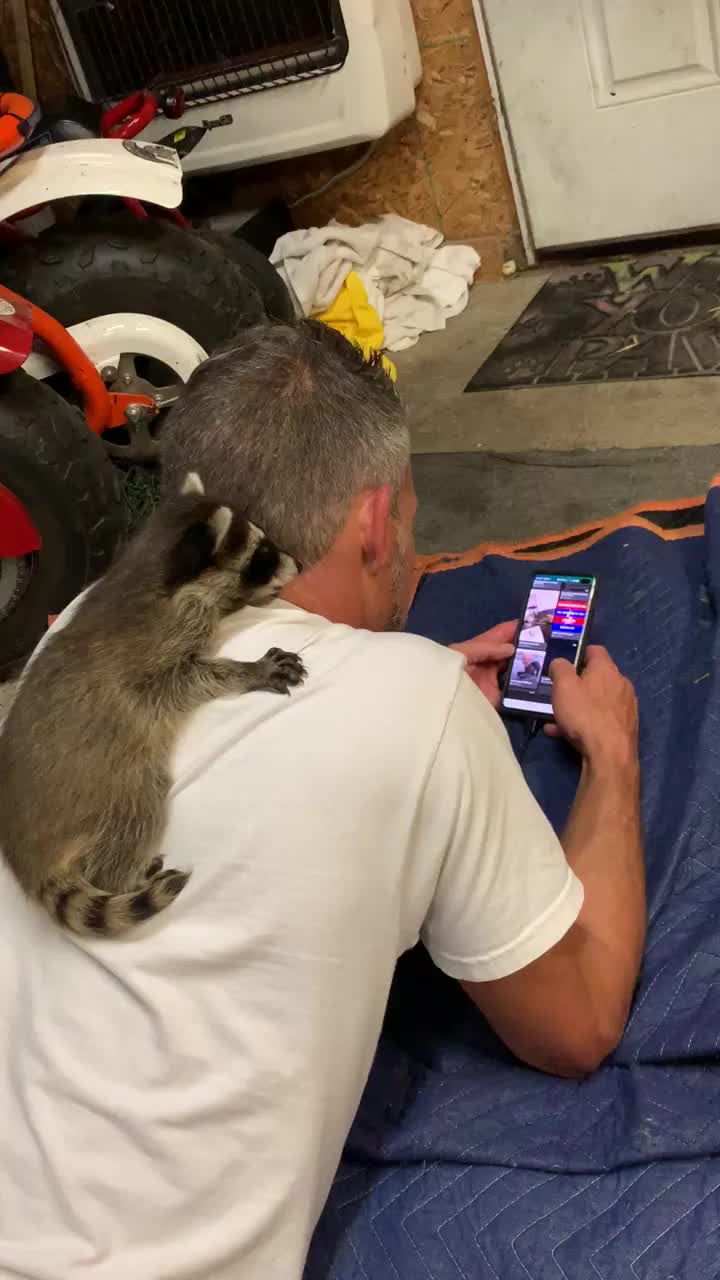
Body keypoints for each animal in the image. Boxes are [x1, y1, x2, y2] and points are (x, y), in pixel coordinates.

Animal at [0, 473, 305, 938]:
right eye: (263, 554)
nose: (299, 564)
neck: (150, 566)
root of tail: (29, 859)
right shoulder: (148, 661)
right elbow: (182, 682)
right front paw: (248, 669)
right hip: (109, 786)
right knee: (138, 809)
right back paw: (122, 874)